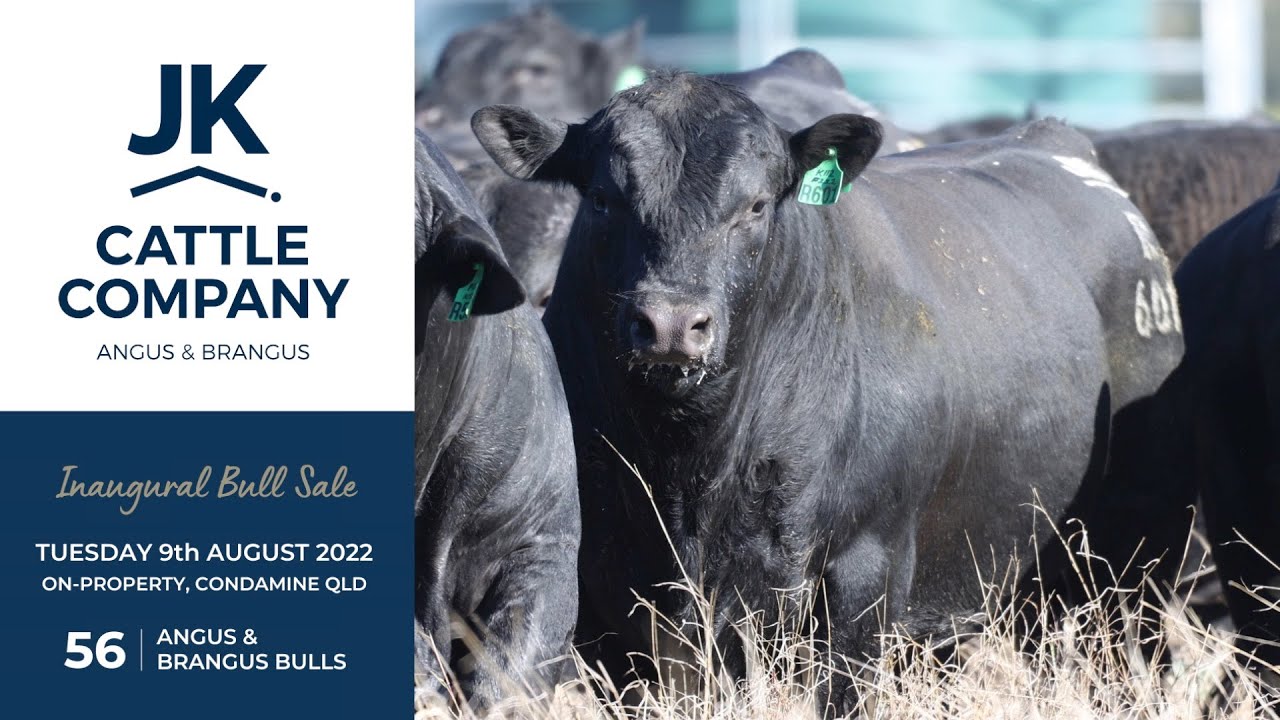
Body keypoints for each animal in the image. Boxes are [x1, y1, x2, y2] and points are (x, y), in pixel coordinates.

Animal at [472, 71, 1185, 712]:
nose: (671, 324)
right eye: (600, 199)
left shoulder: (866, 571)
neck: (693, 466)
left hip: (1132, 564)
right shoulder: (606, 589)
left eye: (756, 206)